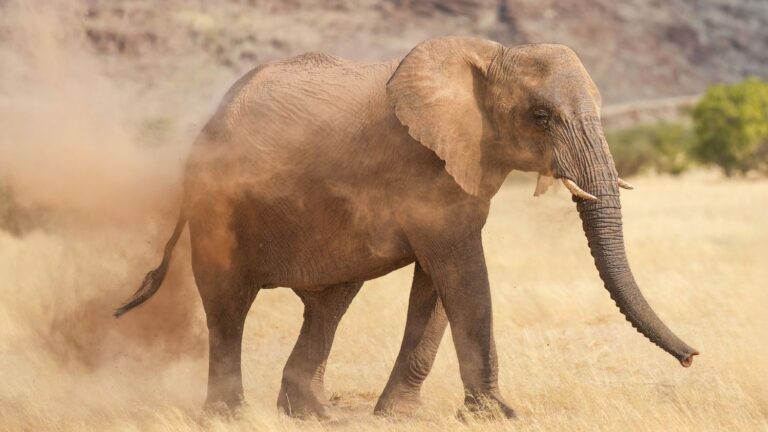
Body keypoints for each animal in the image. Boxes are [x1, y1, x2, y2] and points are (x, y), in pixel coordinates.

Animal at [114, 36, 698, 419]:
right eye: (540, 116)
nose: (692, 357)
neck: (489, 54)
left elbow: (438, 284)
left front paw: (399, 415)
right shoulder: (425, 167)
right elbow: (462, 275)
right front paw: (498, 414)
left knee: (329, 301)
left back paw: (311, 414)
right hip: (217, 205)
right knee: (228, 307)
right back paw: (230, 416)